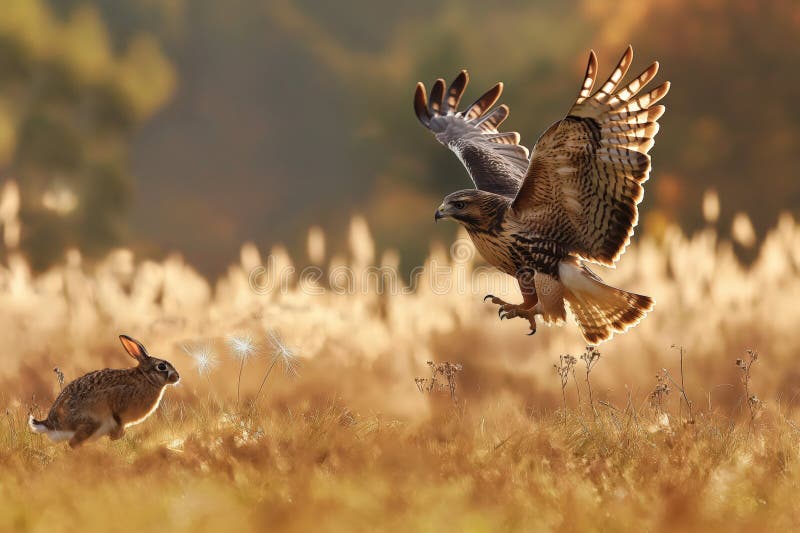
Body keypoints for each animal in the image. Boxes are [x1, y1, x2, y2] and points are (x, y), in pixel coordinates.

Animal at [28, 334, 180, 448]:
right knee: (73, 443)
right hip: (92, 422)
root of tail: (51, 424)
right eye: (161, 366)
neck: (146, 378)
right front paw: (119, 433)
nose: (177, 377)